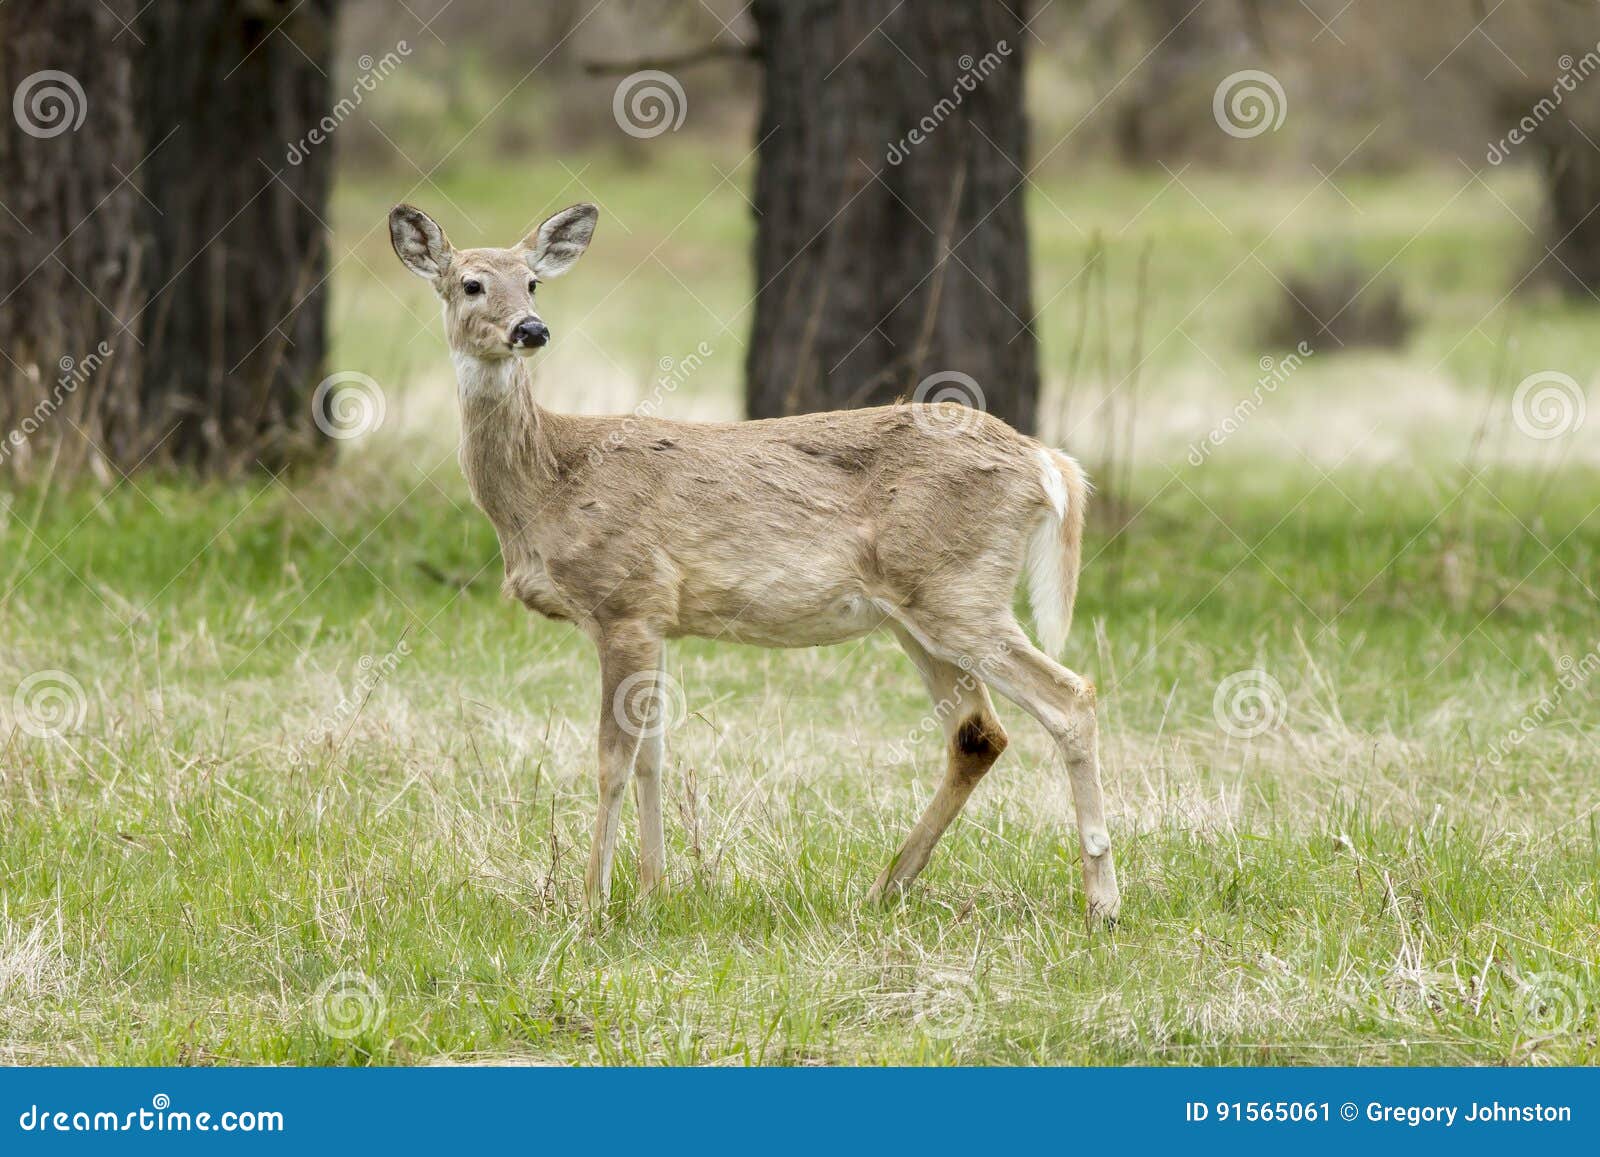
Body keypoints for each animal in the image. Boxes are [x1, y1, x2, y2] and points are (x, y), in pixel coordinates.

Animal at [388, 201, 1120, 927]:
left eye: (533, 283)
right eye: (471, 284)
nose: (531, 329)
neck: (548, 484)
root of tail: (1047, 463)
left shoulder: (624, 600)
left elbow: (612, 760)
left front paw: (591, 905)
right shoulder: (655, 618)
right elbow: (654, 755)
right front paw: (653, 892)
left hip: (958, 592)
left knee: (1070, 698)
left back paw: (1102, 901)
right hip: (917, 612)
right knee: (977, 734)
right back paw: (884, 888)